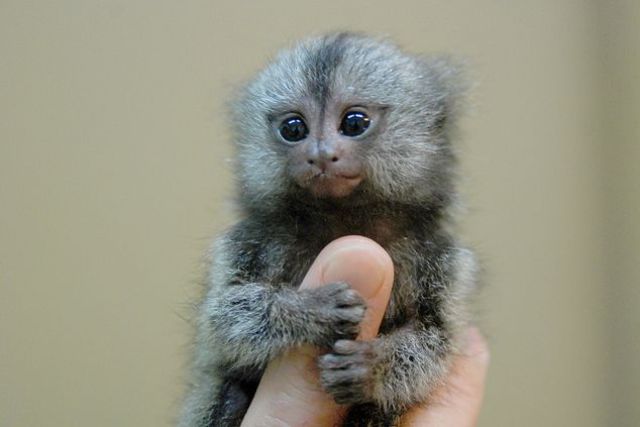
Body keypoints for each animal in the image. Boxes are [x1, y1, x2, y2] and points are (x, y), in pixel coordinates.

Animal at [179, 32, 478, 427]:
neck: (342, 218)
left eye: (354, 122)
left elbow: (436, 338)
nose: (321, 154)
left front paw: (370, 369)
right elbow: (223, 318)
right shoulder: (242, 244)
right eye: (293, 129)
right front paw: (310, 310)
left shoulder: (444, 260)